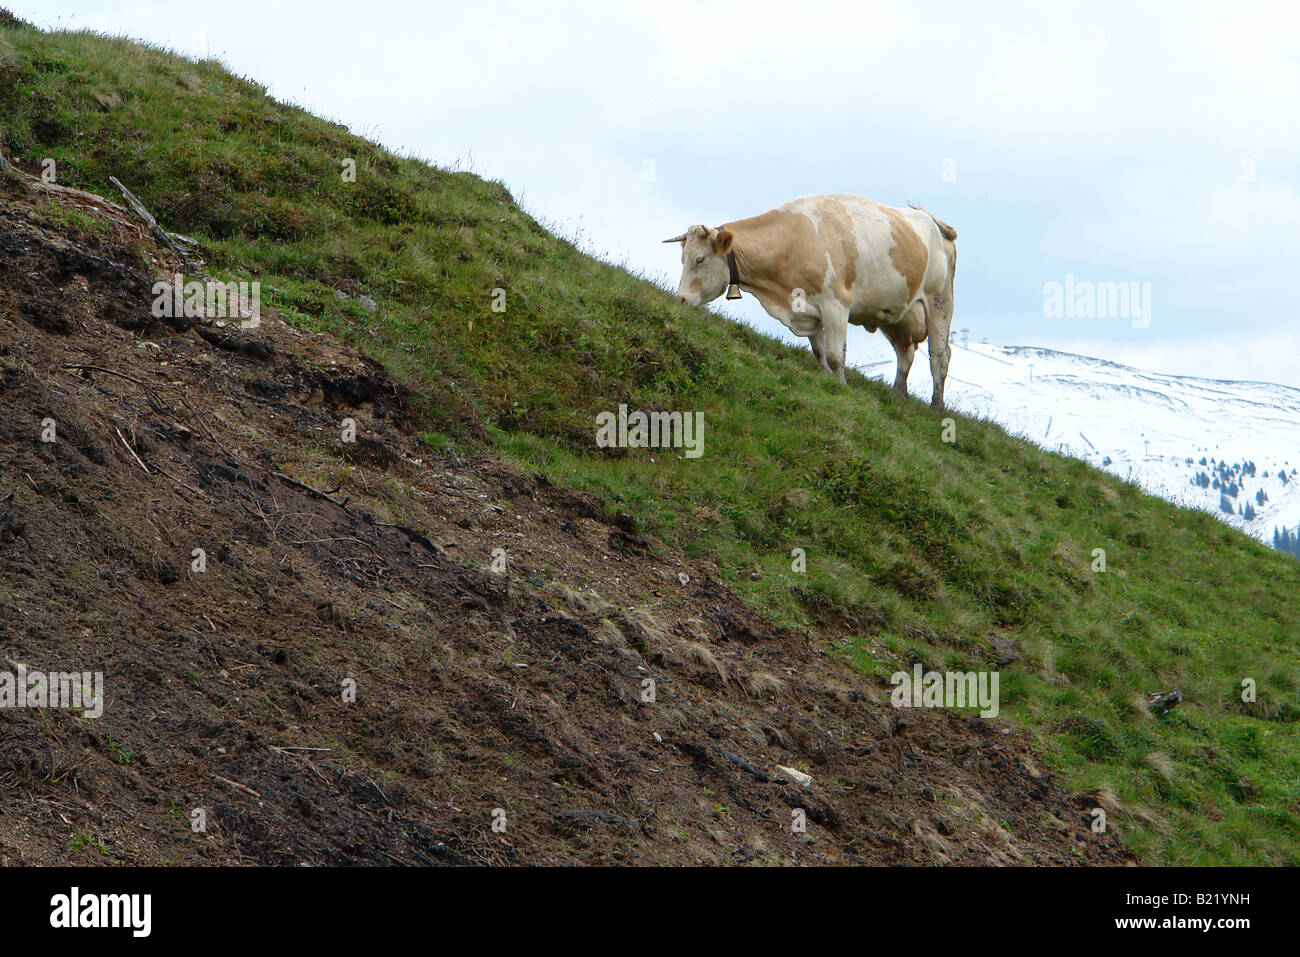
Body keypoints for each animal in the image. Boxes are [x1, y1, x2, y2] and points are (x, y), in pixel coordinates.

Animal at [664, 194, 957, 409]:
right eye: (682, 258)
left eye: (699, 258)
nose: (680, 298)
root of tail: (933, 220)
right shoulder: (808, 310)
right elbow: (819, 351)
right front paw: (827, 381)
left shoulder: (835, 304)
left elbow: (835, 355)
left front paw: (841, 387)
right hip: (898, 315)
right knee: (905, 352)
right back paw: (898, 394)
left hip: (940, 300)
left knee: (939, 356)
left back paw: (937, 407)